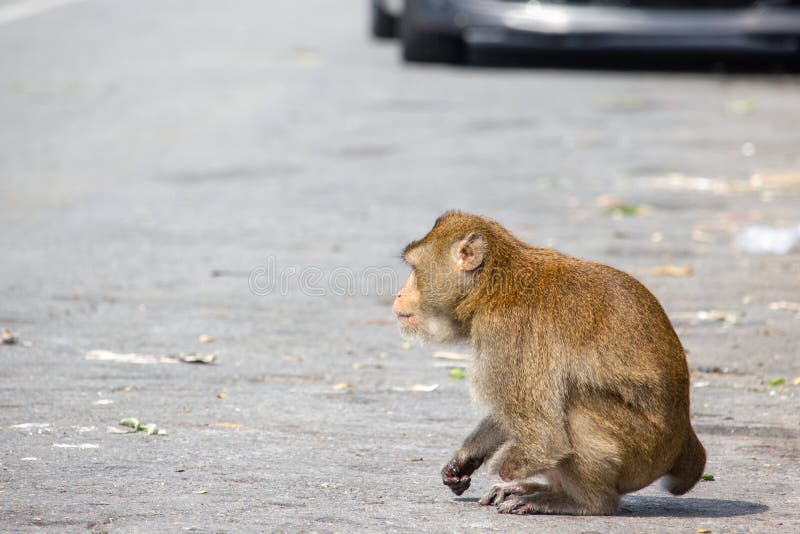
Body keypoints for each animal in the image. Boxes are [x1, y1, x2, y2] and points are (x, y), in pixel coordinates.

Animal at [392, 211, 706, 515]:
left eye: (414, 270)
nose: (398, 294)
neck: (490, 289)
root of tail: (684, 440)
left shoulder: (507, 337)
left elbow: (546, 438)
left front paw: (503, 467)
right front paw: (466, 457)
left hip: (643, 453)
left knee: (575, 406)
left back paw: (585, 503)